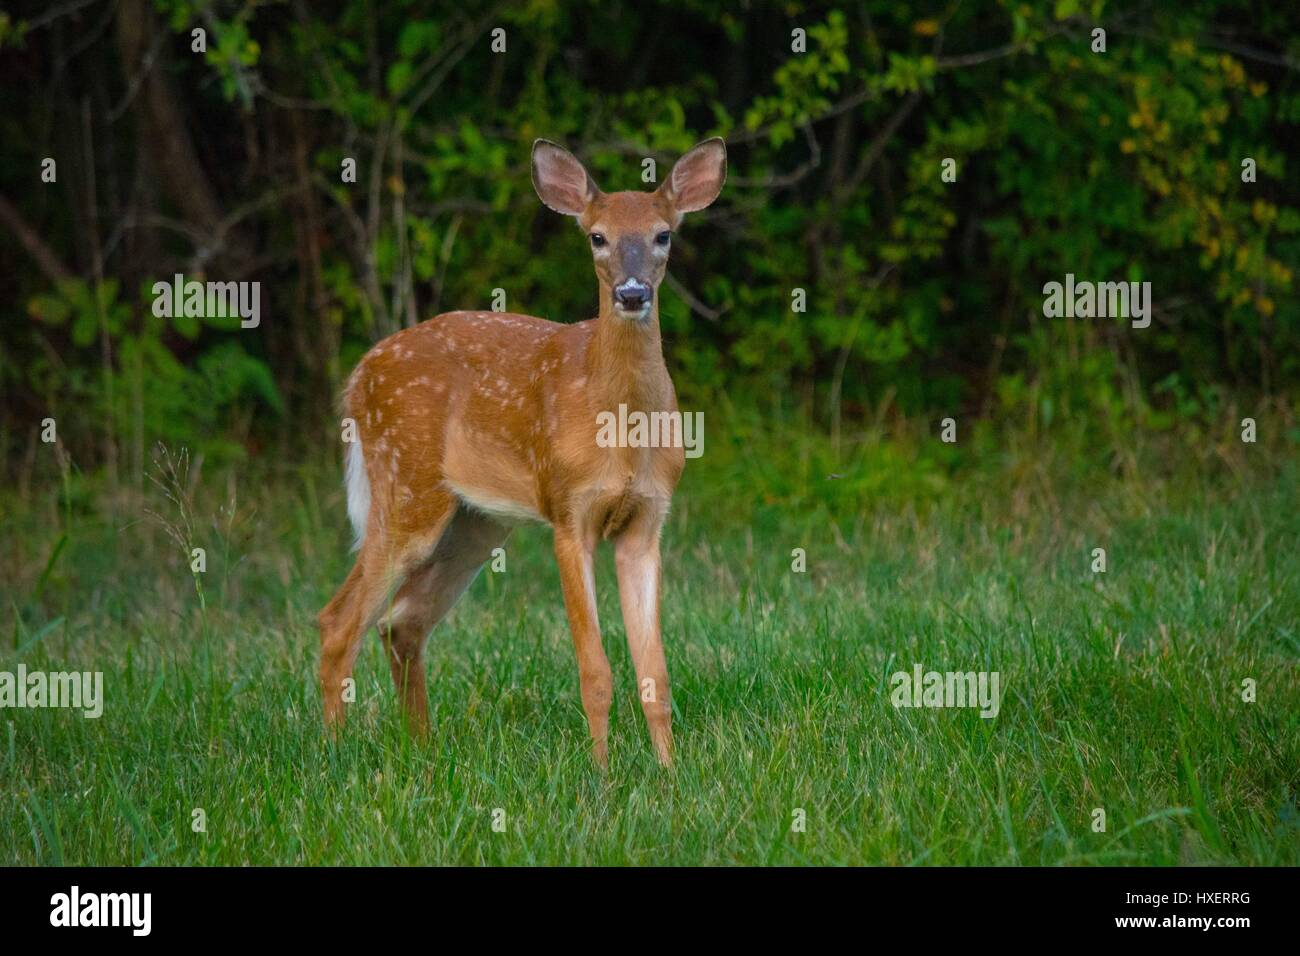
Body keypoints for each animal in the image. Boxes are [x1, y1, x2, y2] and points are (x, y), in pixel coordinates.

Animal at [317, 137, 727, 768]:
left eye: (663, 235)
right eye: (597, 237)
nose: (632, 293)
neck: (622, 428)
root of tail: (359, 374)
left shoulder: (647, 521)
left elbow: (655, 675)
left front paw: (669, 773)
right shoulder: (567, 510)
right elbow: (595, 672)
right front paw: (603, 776)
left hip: (476, 521)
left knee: (401, 621)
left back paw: (424, 749)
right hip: (406, 488)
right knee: (339, 623)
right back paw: (337, 755)